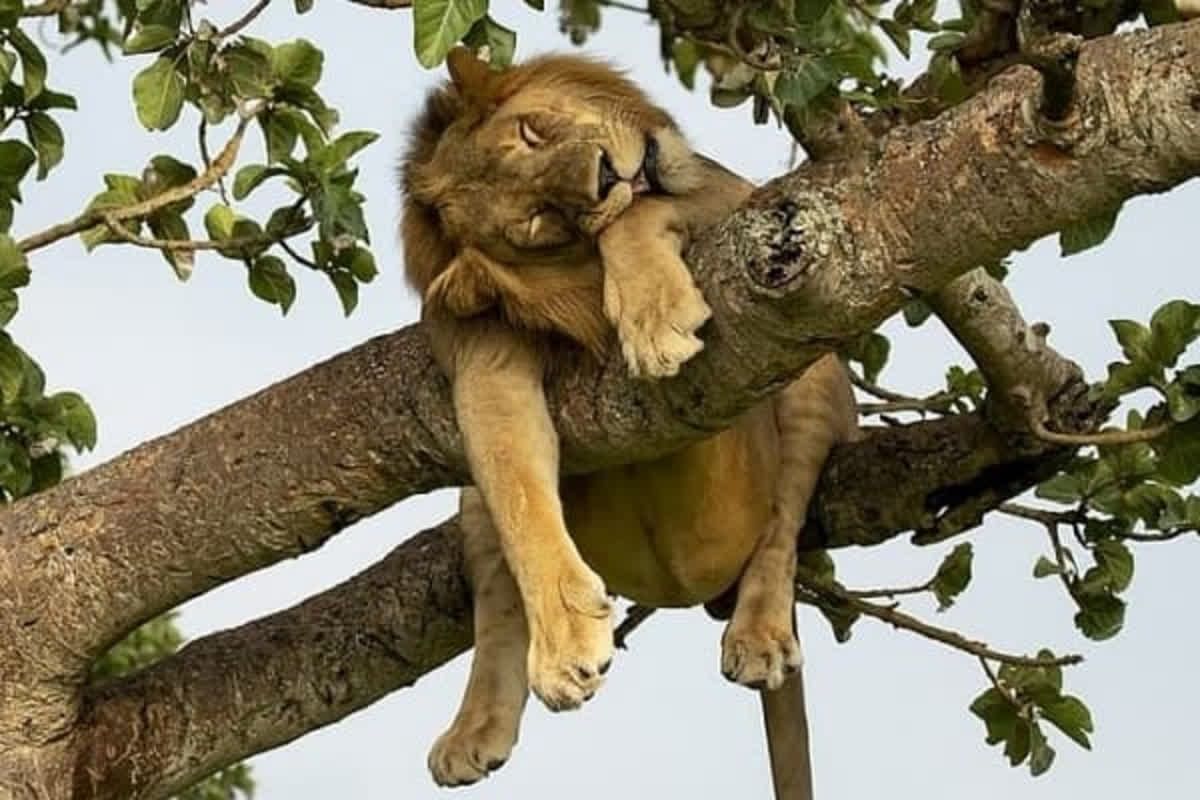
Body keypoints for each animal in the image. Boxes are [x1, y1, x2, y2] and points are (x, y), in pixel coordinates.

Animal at [400, 48, 858, 787]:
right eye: (538, 220)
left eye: (531, 131)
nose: (610, 175)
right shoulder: (483, 366)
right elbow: (521, 500)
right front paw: (567, 643)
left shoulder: (738, 204)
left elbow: (638, 217)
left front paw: (651, 317)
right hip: (472, 501)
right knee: (497, 600)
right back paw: (475, 729)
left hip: (813, 376)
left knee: (783, 521)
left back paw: (758, 634)